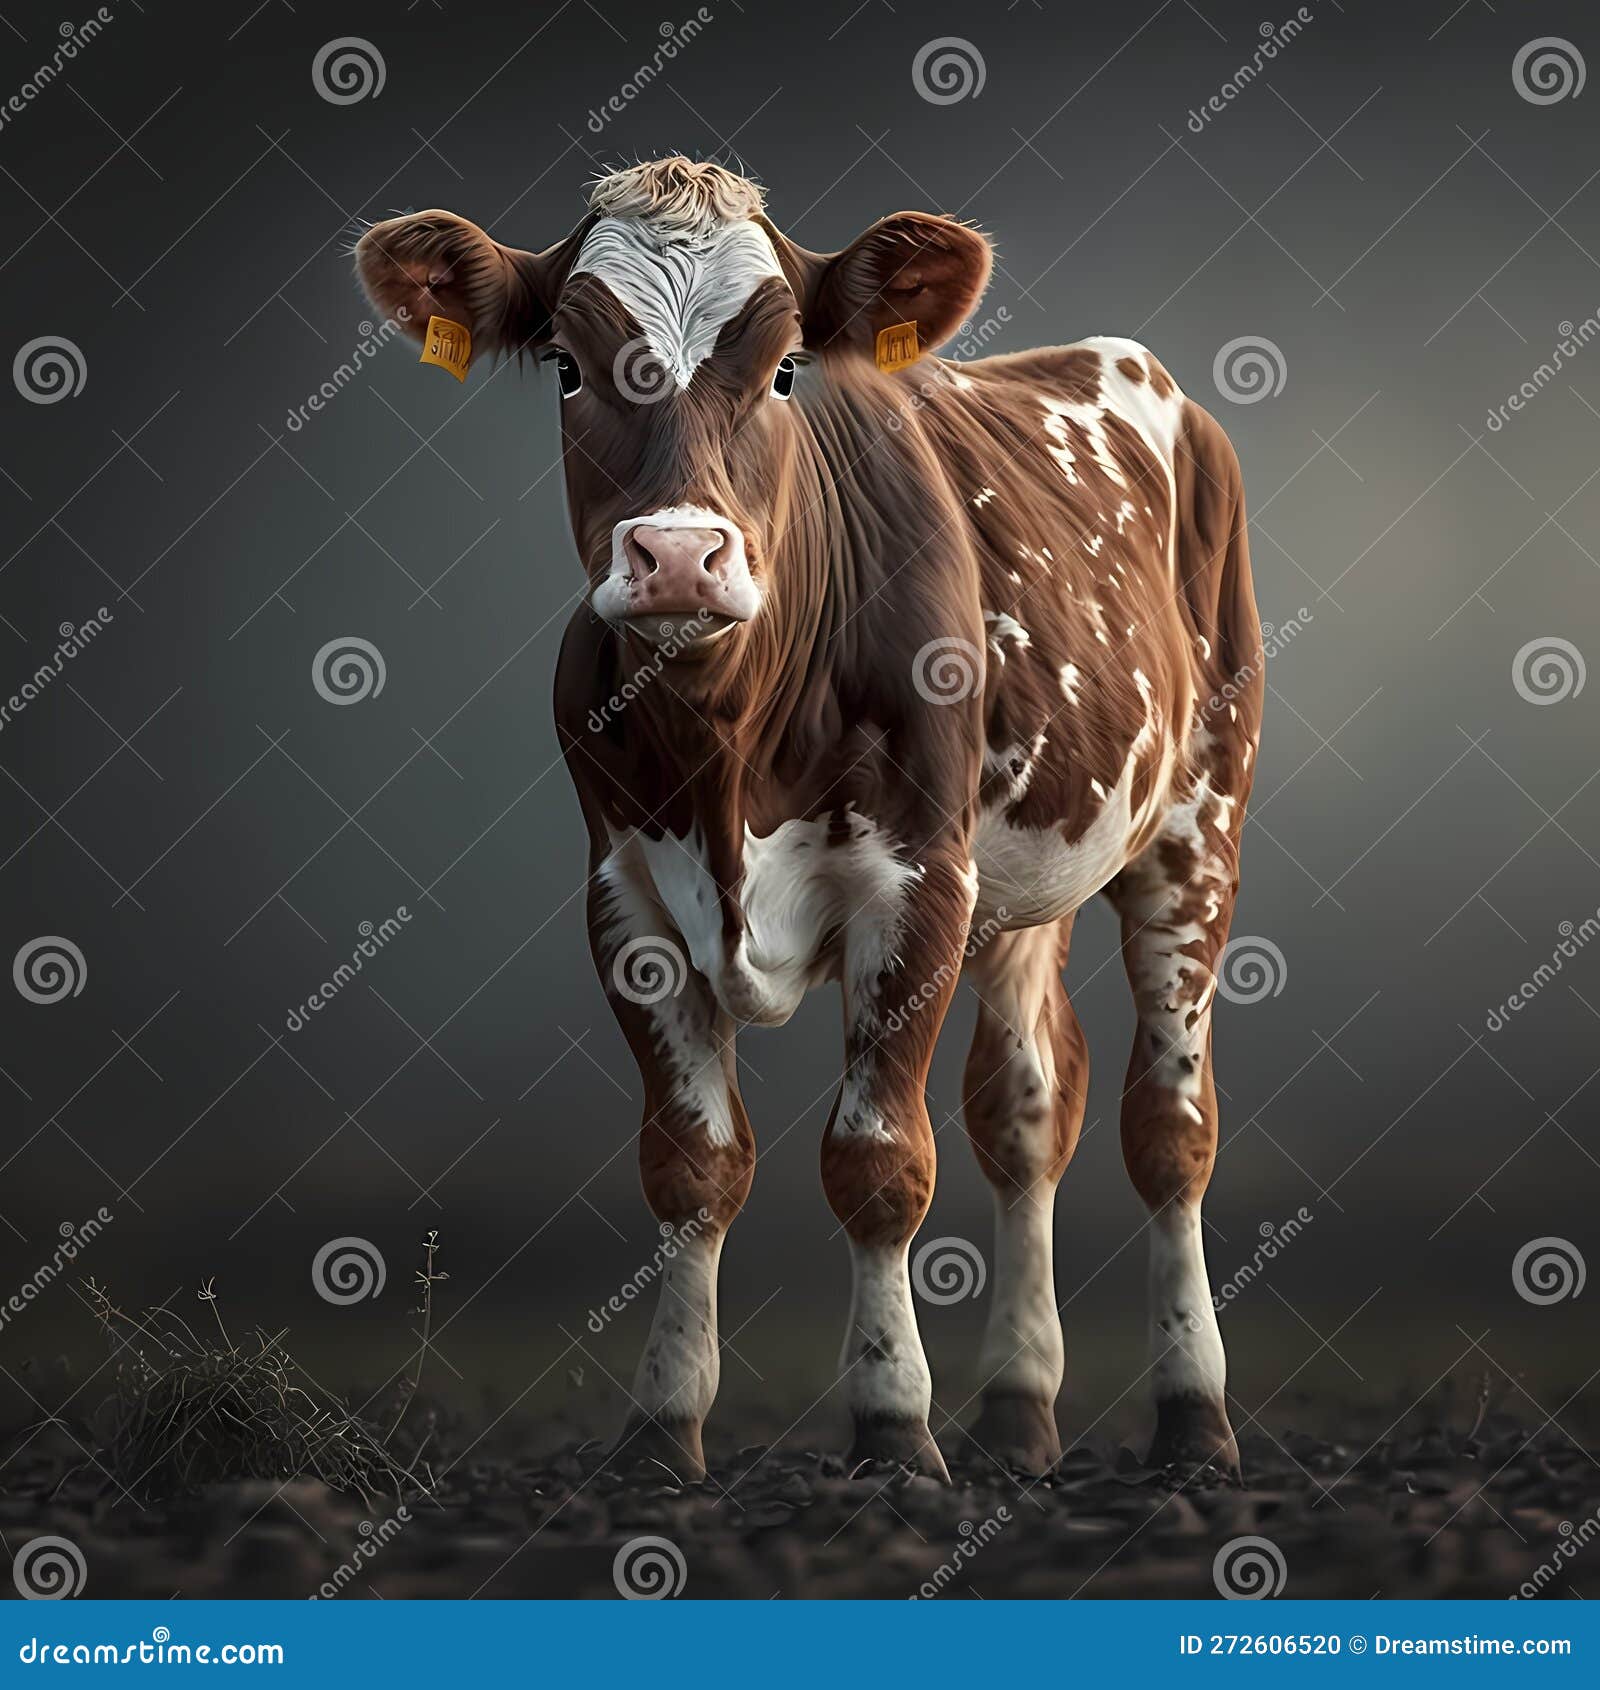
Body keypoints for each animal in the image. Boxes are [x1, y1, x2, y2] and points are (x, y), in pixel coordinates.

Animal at [356, 157, 1263, 1487]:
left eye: (786, 368)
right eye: (569, 364)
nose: (680, 556)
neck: (729, 748)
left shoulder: (918, 885)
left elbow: (879, 1162)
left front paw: (892, 1428)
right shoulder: (624, 897)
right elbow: (690, 1164)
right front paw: (661, 1428)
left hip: (1198, 823)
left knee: (1171, 1125)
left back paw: (1194, 1414)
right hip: (1025, 875)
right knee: (1027, 1107)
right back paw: (1016, 1409)